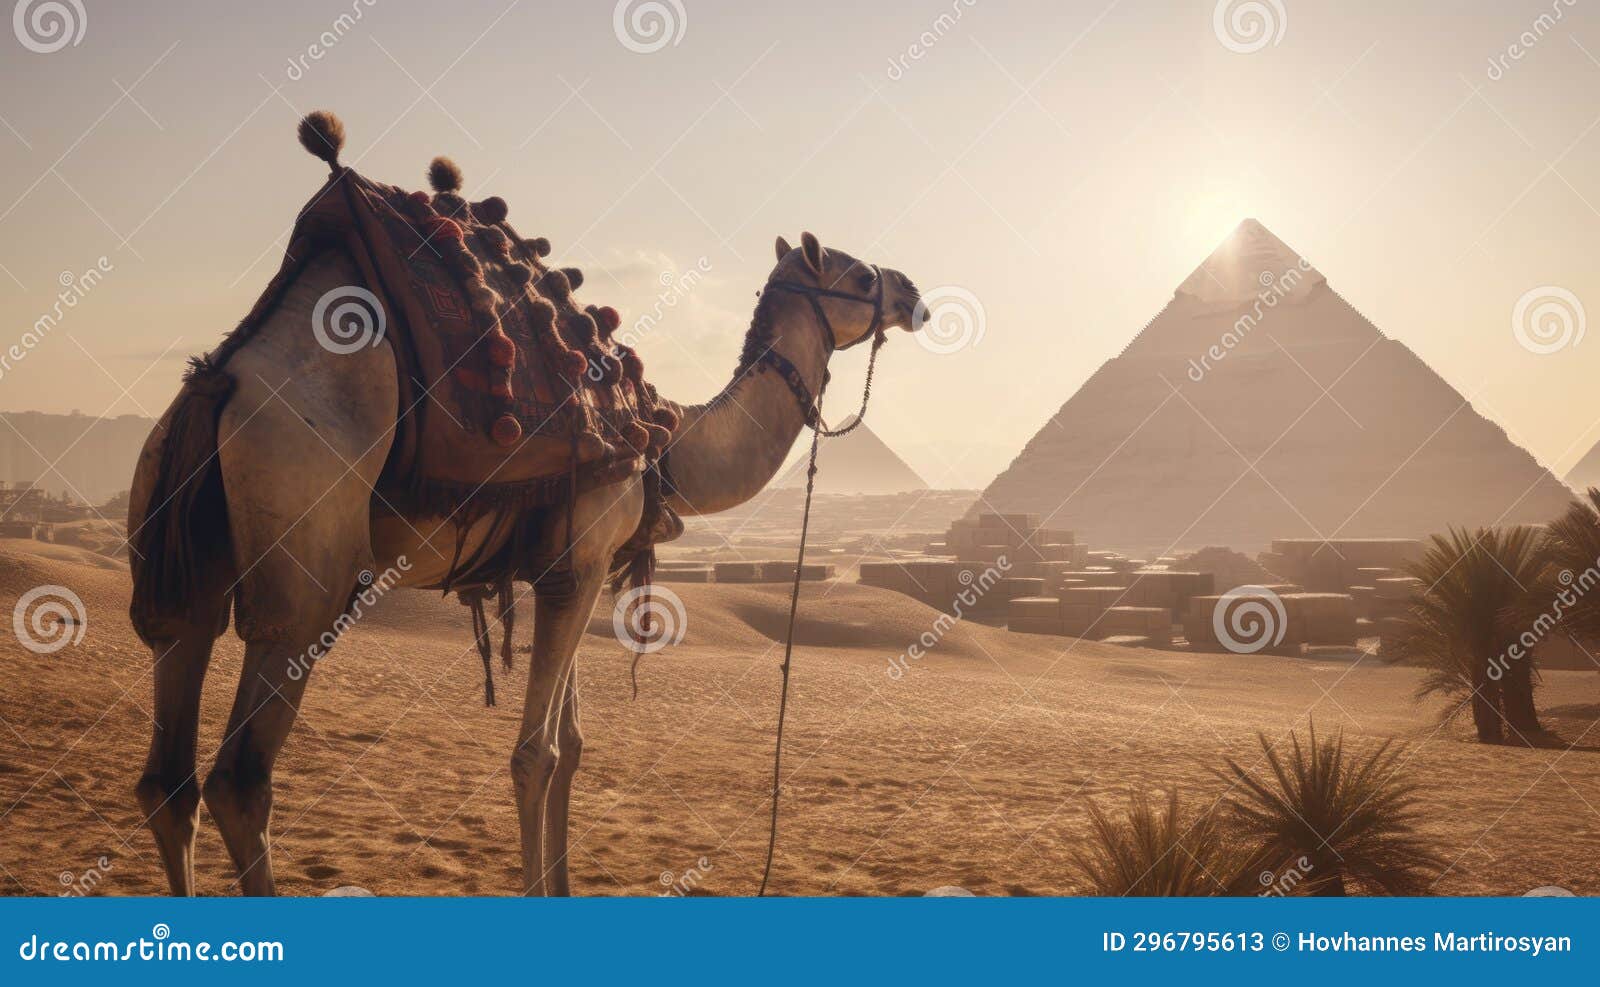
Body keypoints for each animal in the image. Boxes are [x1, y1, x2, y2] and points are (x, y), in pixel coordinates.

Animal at [128, 225, 923, 896]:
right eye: (858, 274)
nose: (913, 294)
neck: (664, 438)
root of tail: (223, 380)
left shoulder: (565, 570)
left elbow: (570, 744)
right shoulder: (583, 561)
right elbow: (534, 754)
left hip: (181, 572)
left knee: (169, 775)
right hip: (300, 568)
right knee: (240, 778)